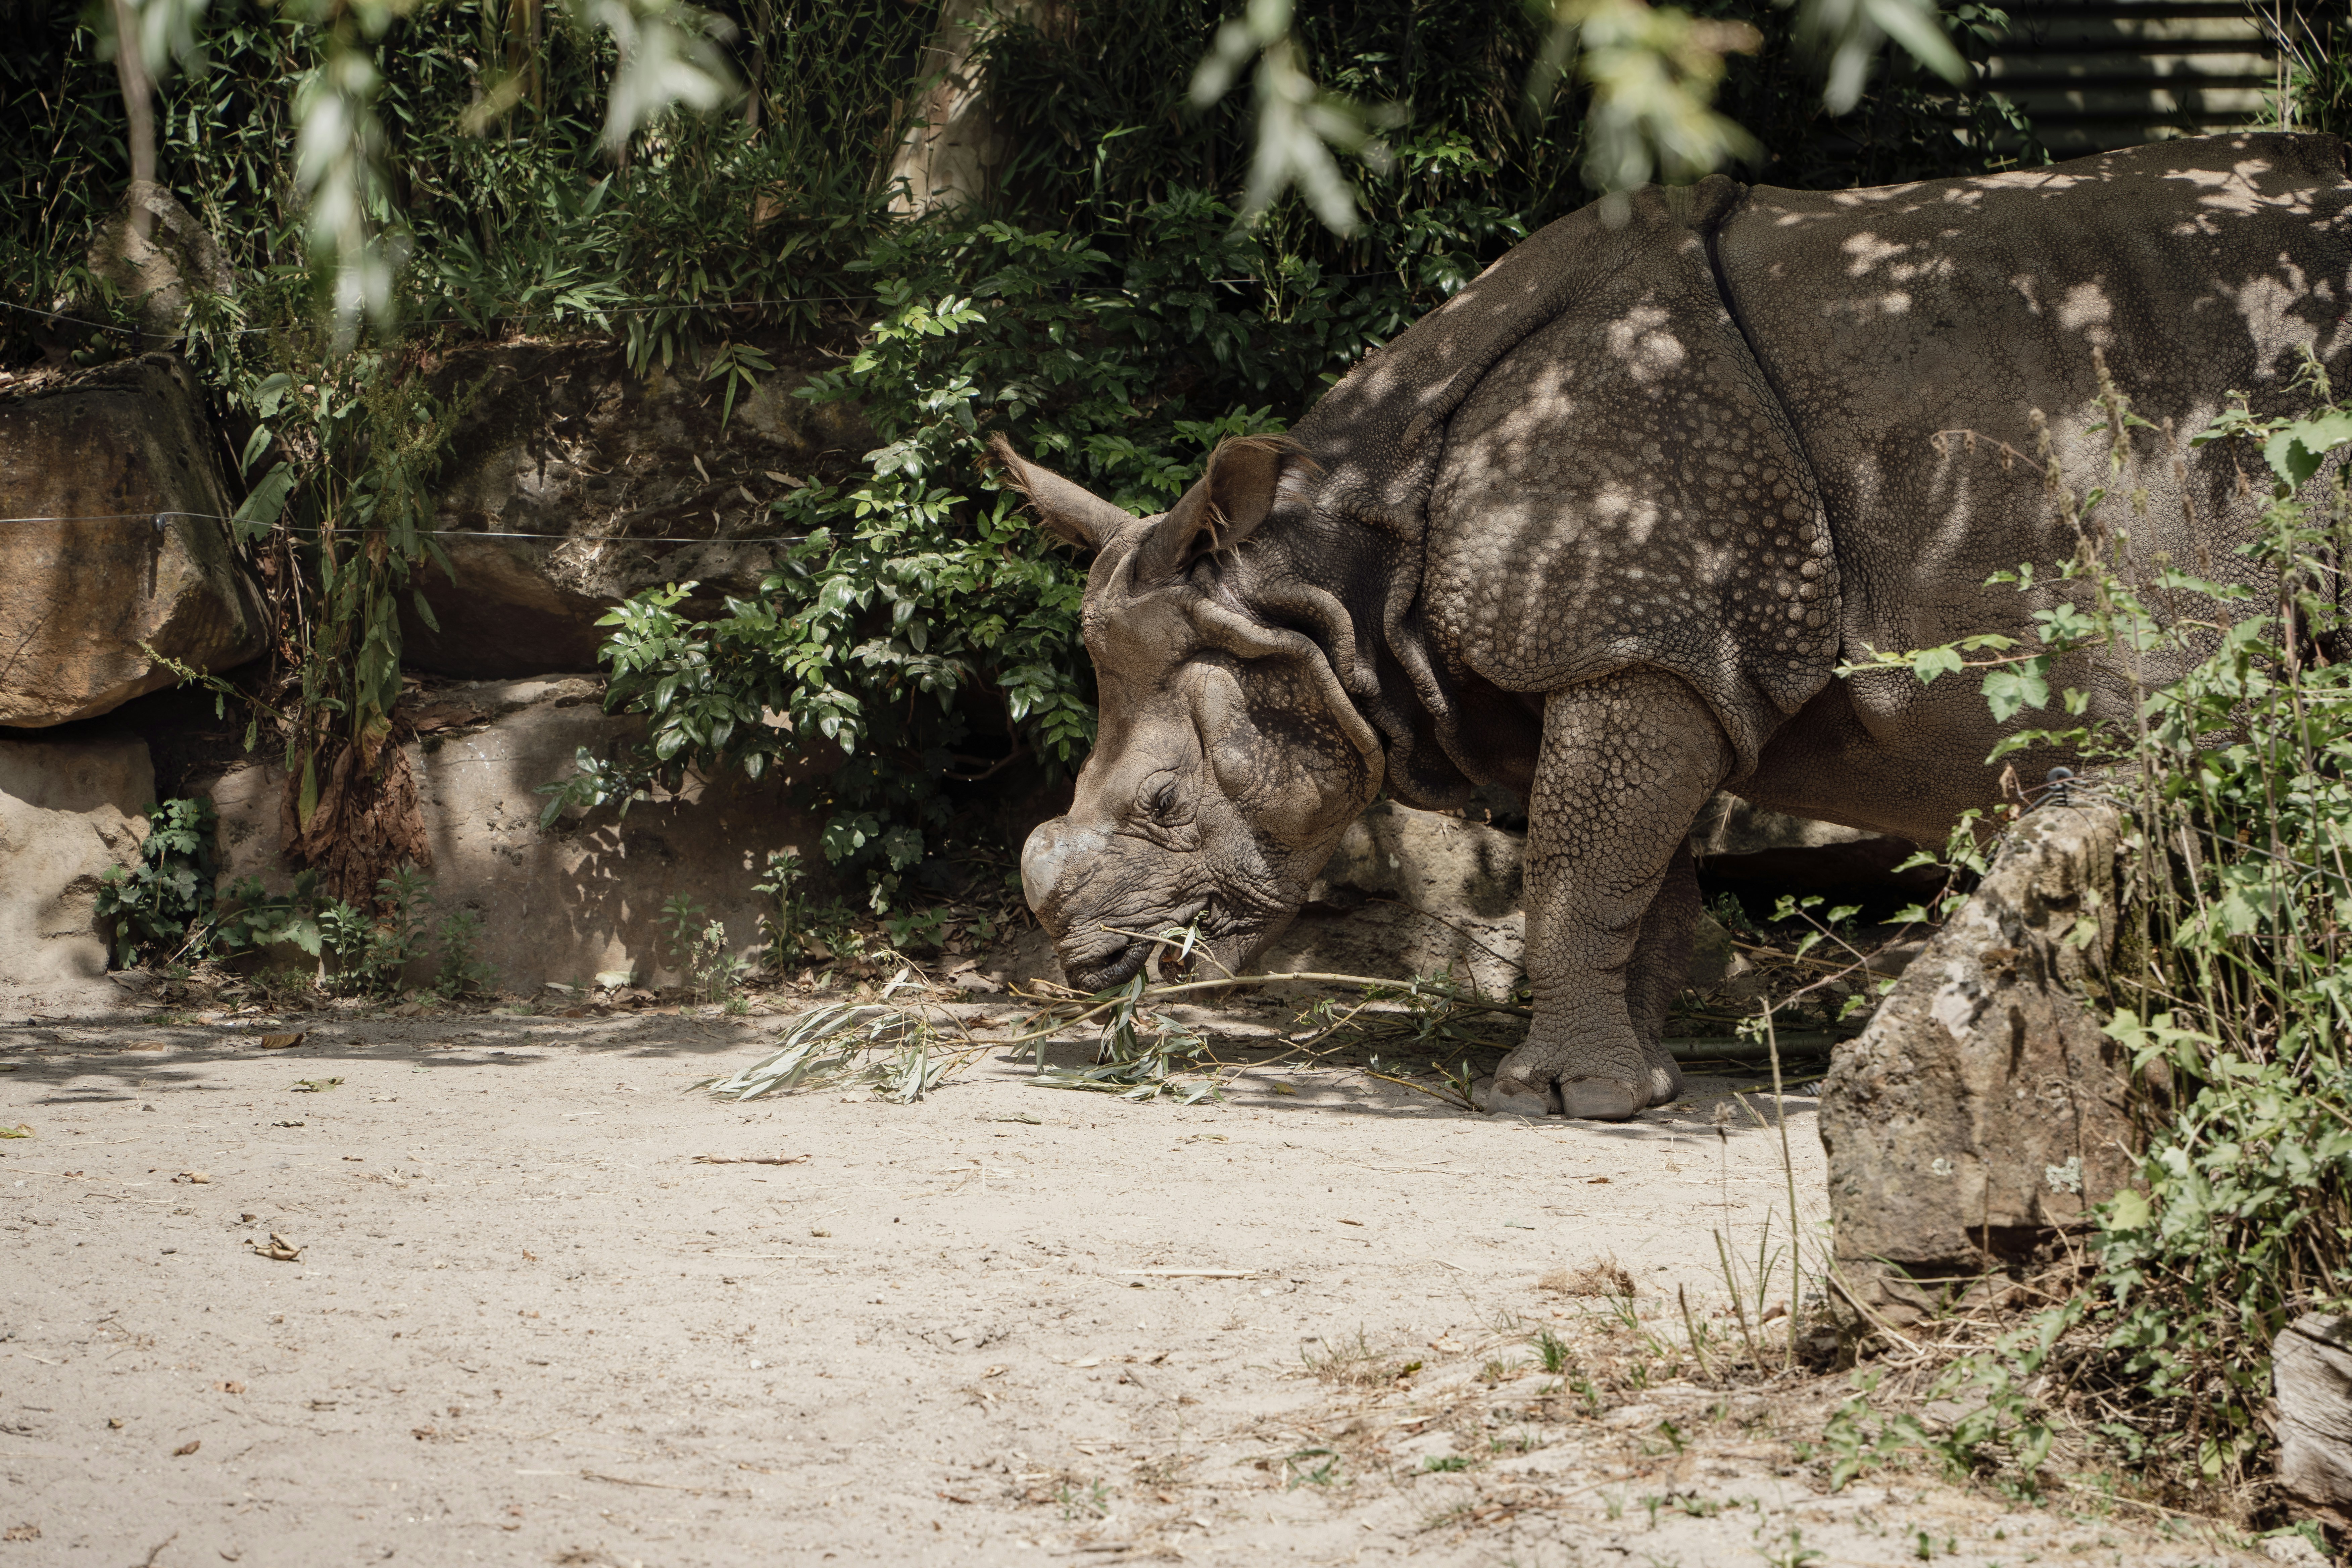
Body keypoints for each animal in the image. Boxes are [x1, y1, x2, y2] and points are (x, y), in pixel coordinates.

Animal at [997, 132, 2352, 1120]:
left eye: (1165, 805)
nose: (1085, 971)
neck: (1324, 580)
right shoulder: (1639, 652)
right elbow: (1633, 876)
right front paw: (1631, 1085)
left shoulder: (1630, 644)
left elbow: (1576, 863)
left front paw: (1555, 1100)